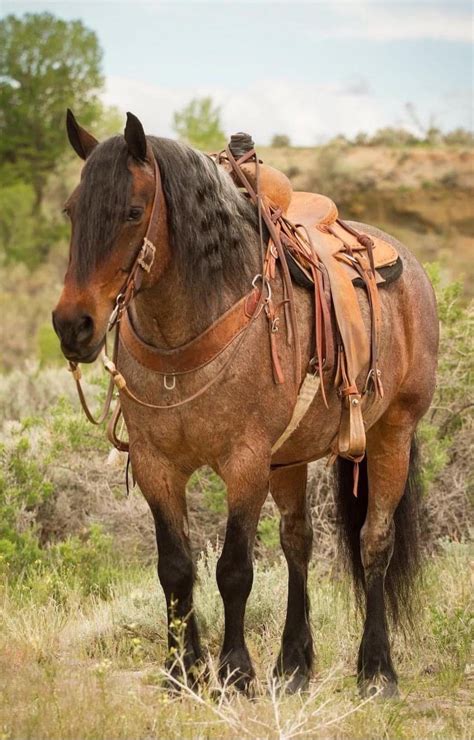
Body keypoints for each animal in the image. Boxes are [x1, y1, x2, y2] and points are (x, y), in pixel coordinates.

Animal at [52, 110, 438, 697]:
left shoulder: (245, 462)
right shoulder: (156, 466)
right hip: (291, 459)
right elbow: (176, 567)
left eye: (133, 212)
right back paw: (293, 665)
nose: (73, 326)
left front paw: (235, 671)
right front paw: (182, 671)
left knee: (374, 542)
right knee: (298, 540)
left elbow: (234, 569)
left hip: (391, 432)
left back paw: (377, 670)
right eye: (72, 210)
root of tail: (409, 263)